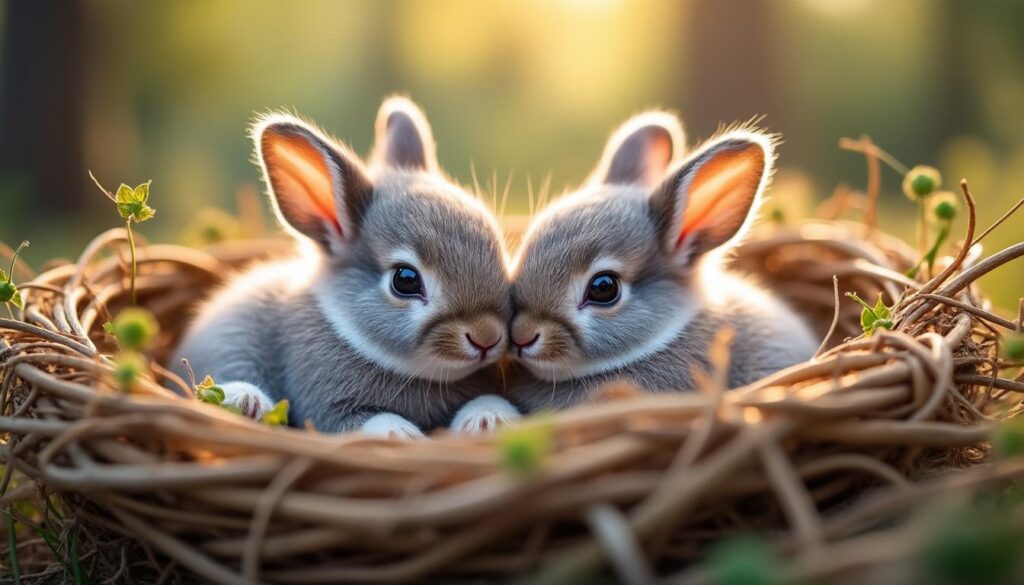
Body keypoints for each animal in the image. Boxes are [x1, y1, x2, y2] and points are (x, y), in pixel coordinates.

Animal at [172, 97, 520, 437]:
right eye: (405, 280)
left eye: (501, 252)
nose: (487, 338)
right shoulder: (326, 405)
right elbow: (361, 422)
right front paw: (399, 433)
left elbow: (488, 400)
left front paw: (490, 420)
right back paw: (245, 400)